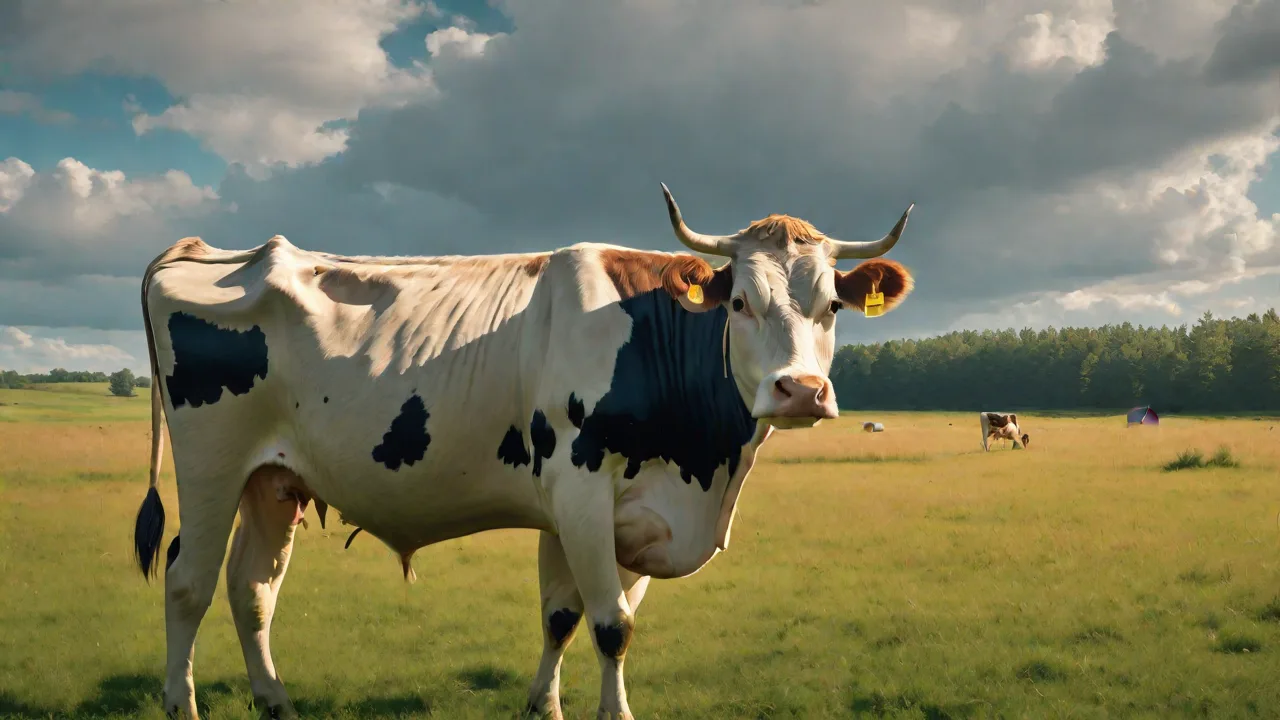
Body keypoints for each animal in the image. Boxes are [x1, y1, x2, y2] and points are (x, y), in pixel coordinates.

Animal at [131, 184, 915, 720]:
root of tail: (203, 253)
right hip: (210, 465)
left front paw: (545, 706)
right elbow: (611, 625)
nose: (801, 391)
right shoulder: (581, 491)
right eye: (740, 303)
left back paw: (276, 700)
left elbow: (564, 617)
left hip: (272, 480)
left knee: (252, 587)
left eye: (833, 306)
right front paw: (612, 712)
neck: (703, 469)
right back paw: (181, 705)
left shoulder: (631, 515)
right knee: (188, 580)